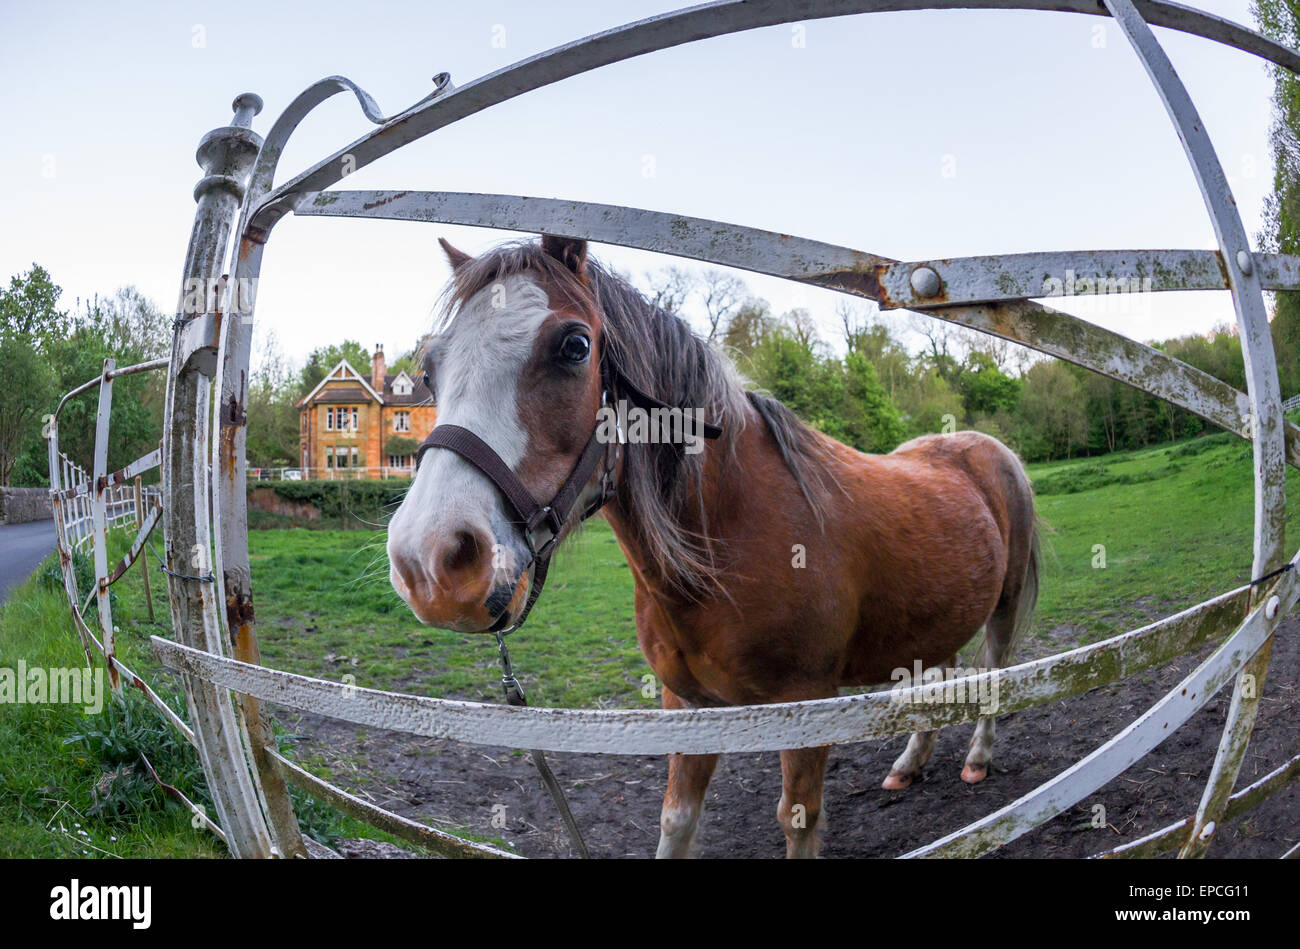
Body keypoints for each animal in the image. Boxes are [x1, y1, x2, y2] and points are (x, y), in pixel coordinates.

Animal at [386, 234, 1041, 858]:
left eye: (575, 345)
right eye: (430, 368)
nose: (429, 562)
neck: (722, 548)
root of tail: (984, 447)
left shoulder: (806, 707)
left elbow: (798, 821)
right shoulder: (687, 705)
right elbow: (676, 821)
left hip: (1003, 610)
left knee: (993, 674)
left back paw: (977, 760)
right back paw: (908, 766)